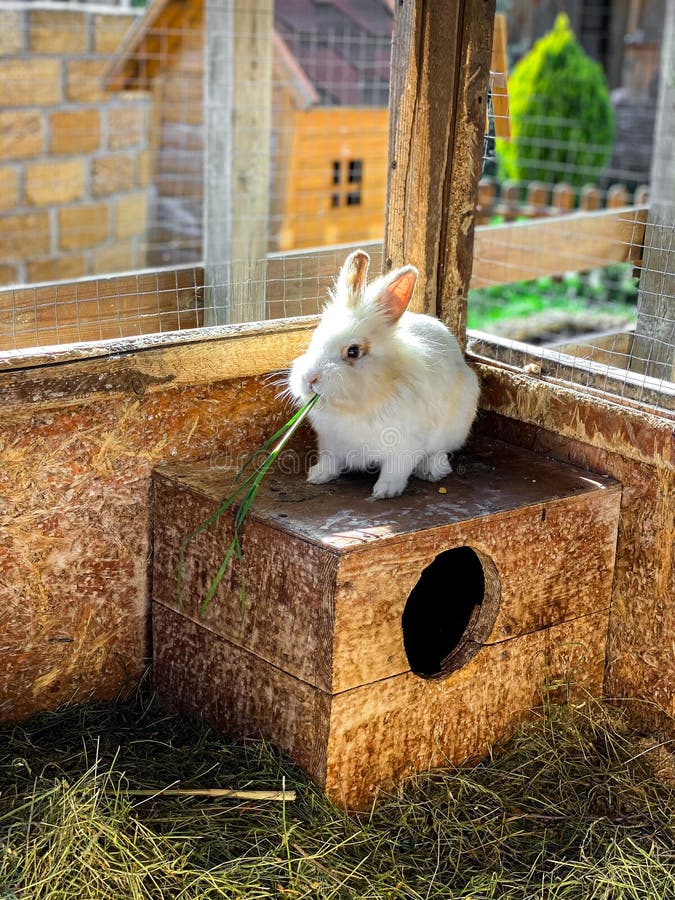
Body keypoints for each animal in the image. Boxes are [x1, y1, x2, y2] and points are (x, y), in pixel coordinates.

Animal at [288, 249, 480, 499]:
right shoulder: (329, 440)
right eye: (314, 341)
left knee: (439, 451)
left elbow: (395, 469)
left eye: (353, 351)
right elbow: (329, 460)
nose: (309, 378)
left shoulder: (405, 444)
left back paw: (432, 470)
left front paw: (385, 491)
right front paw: (318, 476)